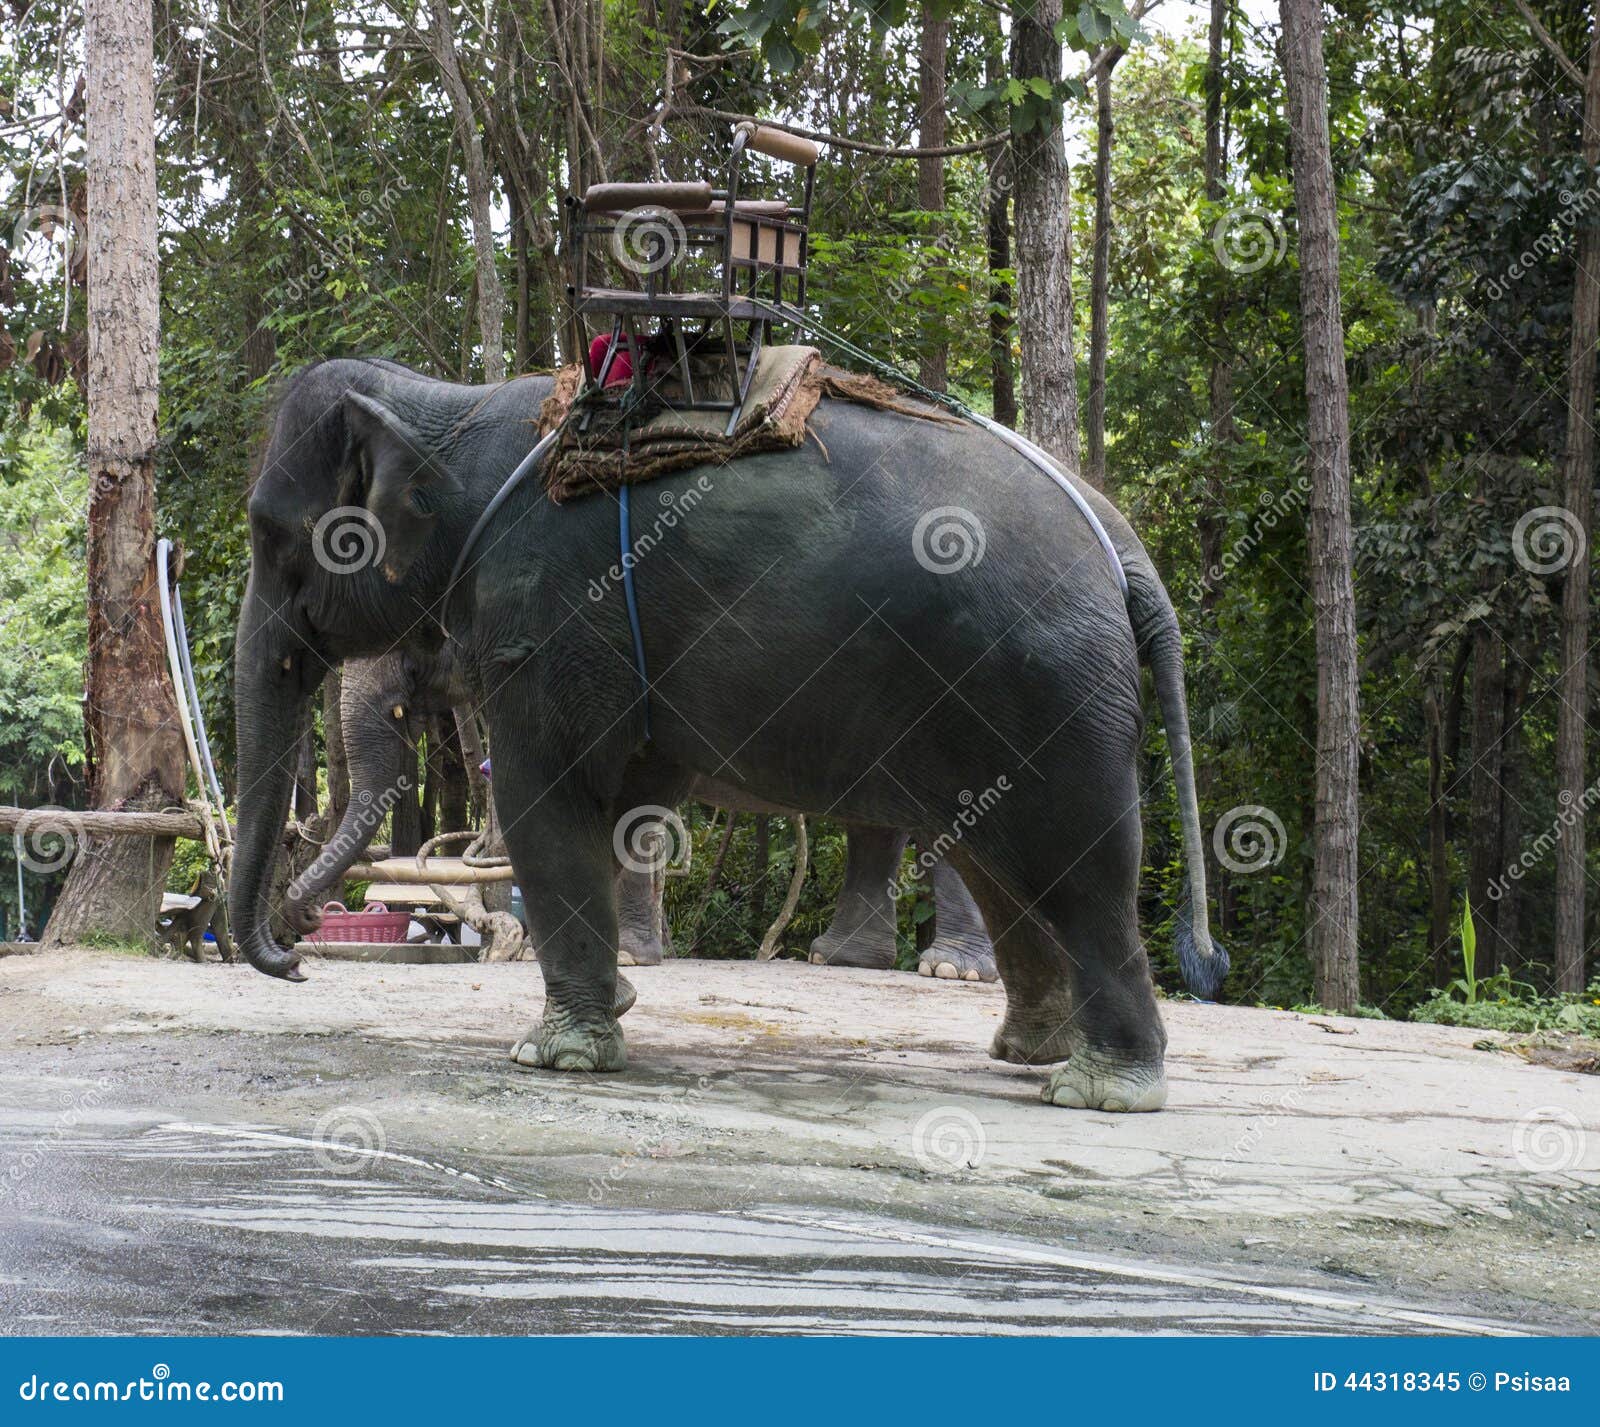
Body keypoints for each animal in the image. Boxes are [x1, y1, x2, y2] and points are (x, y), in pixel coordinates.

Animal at [231, 357, 1225, 1113]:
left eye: (269, 533)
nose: (295, 955)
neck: (450, 402)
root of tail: (1127, 551)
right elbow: (628, 805)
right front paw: (619, 998)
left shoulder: (553, 609)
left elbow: (549, 799)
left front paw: (557, 1055)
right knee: (1001, 860)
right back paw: (1025, 1050)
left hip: (1042, 690)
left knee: (1076, 867)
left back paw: (1099, 1087)